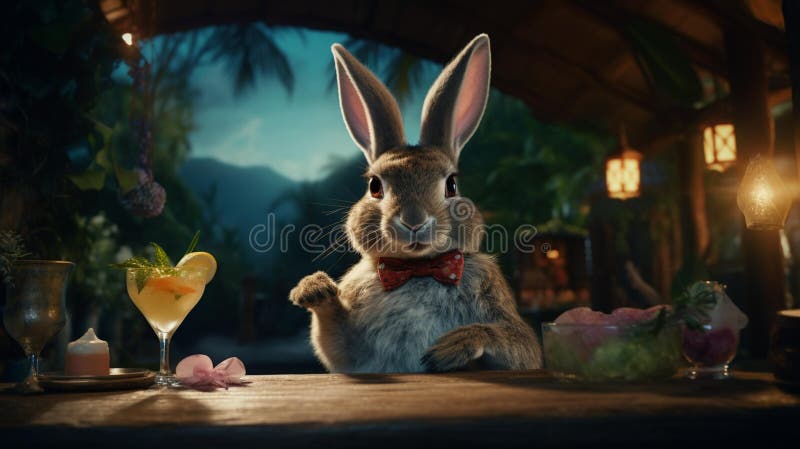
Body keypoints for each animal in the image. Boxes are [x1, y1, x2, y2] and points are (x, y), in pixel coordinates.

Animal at [288, 34, 542, 373]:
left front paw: (454, 345)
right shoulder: (351, 348)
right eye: (375, 186)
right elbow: (334, 343)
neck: (418, 269)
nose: (413, 221)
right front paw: (314, 289)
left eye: (451, 185)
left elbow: (519, 346)